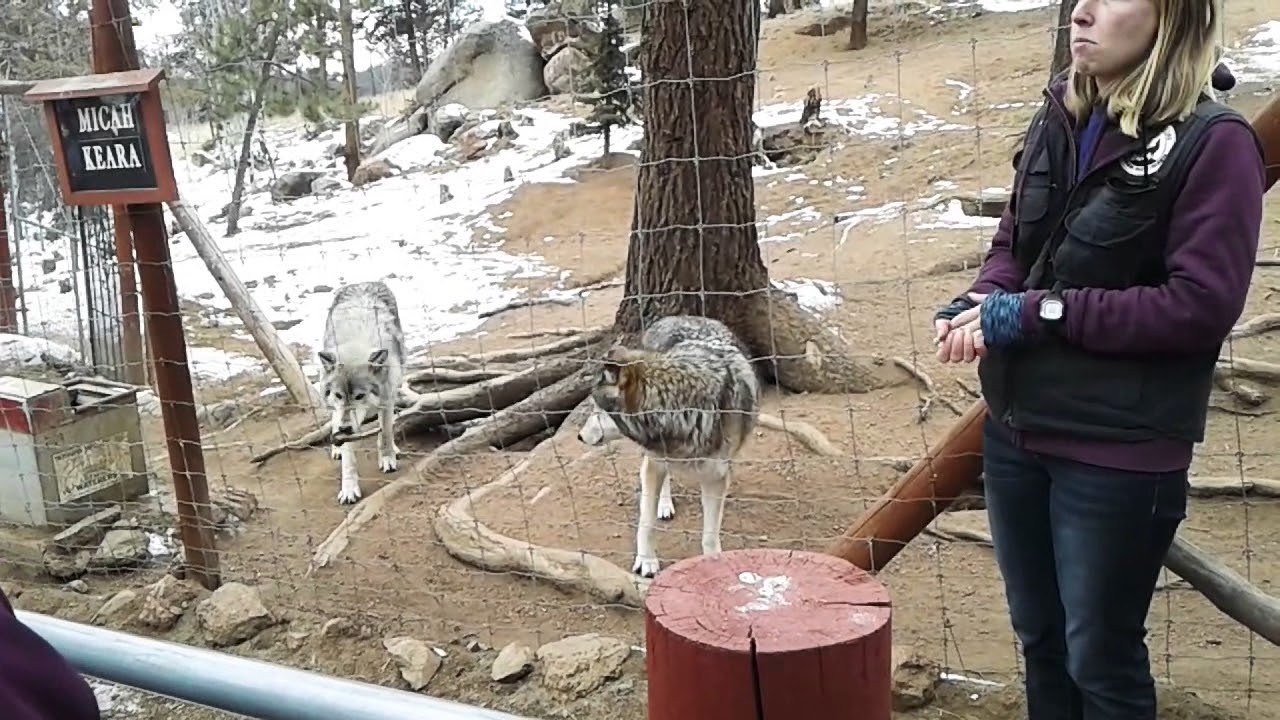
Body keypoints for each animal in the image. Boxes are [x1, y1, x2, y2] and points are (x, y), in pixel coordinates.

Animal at [316, 281, 406, 505]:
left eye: (359, 396)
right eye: (339, 395)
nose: (345, 428)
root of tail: (362, 283)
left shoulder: (387, 401)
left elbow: (386, 432)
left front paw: (387, 458)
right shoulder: (342, 414)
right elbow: (349, 460)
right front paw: (349, 489)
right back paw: (336, 447)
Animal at [582, 315, 760, 578]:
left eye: (598, 409)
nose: (579, 436)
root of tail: (679, 317)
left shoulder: (716, 478)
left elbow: (710, 535)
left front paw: (714, 563)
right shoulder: (655, 459)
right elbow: (646, 523)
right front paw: (646, 561)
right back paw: (664, 505)